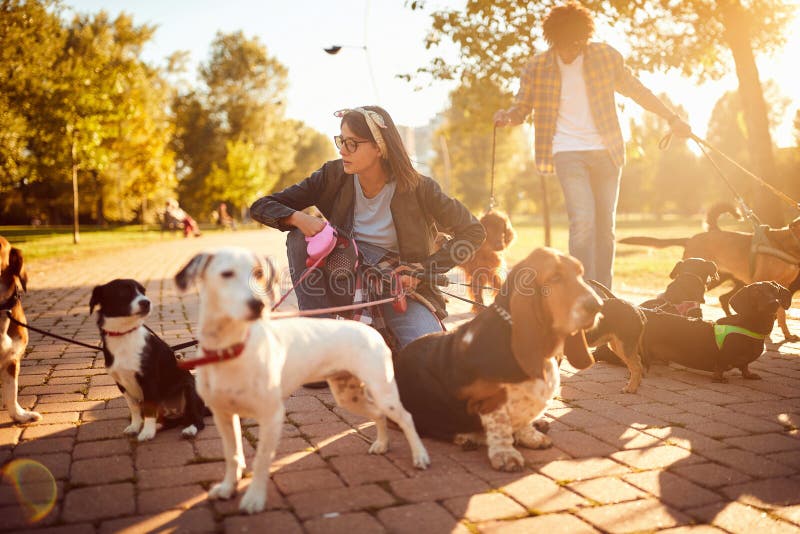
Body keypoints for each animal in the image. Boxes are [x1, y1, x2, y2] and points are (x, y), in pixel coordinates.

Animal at [89, 280, 208, 444]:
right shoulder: (121, 384)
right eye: (123, 292)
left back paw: (189, 429)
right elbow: (134, 408)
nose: (146, 302)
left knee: (197, 420)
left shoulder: (149, 381)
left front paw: (147, 432)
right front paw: (135, 427)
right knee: (173, 421)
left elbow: (149, 409)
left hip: (189, 390)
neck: (124, 335)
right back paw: (159, 426)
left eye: (143, 292)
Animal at [176, 249, 432, 516]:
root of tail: (372, 331)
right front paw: (227, 488)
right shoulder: (223, 416)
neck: (229, 350)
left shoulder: (271, 416)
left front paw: (254, 497)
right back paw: (382, 444)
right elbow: (233, 455)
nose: (258, 305)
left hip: (383, 391)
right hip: (349, 397)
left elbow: (262, 460)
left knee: (406, 417)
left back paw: (420, 456)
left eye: (258, 273)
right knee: (379, 415)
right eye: (226, 274)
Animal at [620, 203, 800, 342]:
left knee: (723, 298)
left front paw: (787, 334)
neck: (786, 245)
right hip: (708, 280)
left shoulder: (784, 286)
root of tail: (691, 239)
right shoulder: (762, 280)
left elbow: (782, 314)